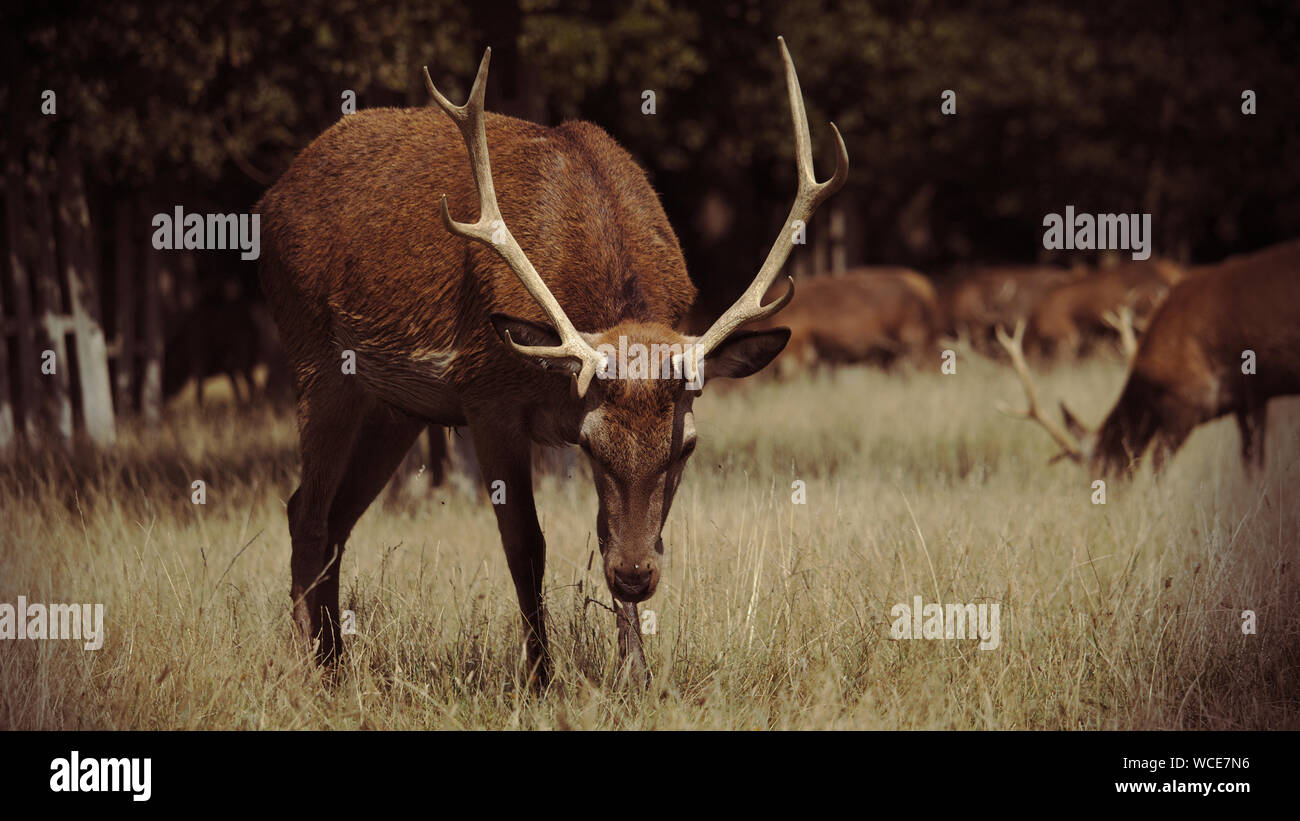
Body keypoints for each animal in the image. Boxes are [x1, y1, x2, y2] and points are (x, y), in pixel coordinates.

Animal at [255, 39, 848, 688]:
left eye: (687, 447)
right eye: (589, 444)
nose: (635, 576)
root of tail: (269, 198)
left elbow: (604, 531)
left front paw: (635, 676)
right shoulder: (486, 396)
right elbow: (525, 543)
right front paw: (541, 676)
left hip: (394, 408)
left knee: (334, 517)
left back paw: (335, 659)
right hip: (313, 352)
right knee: (307, 512)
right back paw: (307, 666)